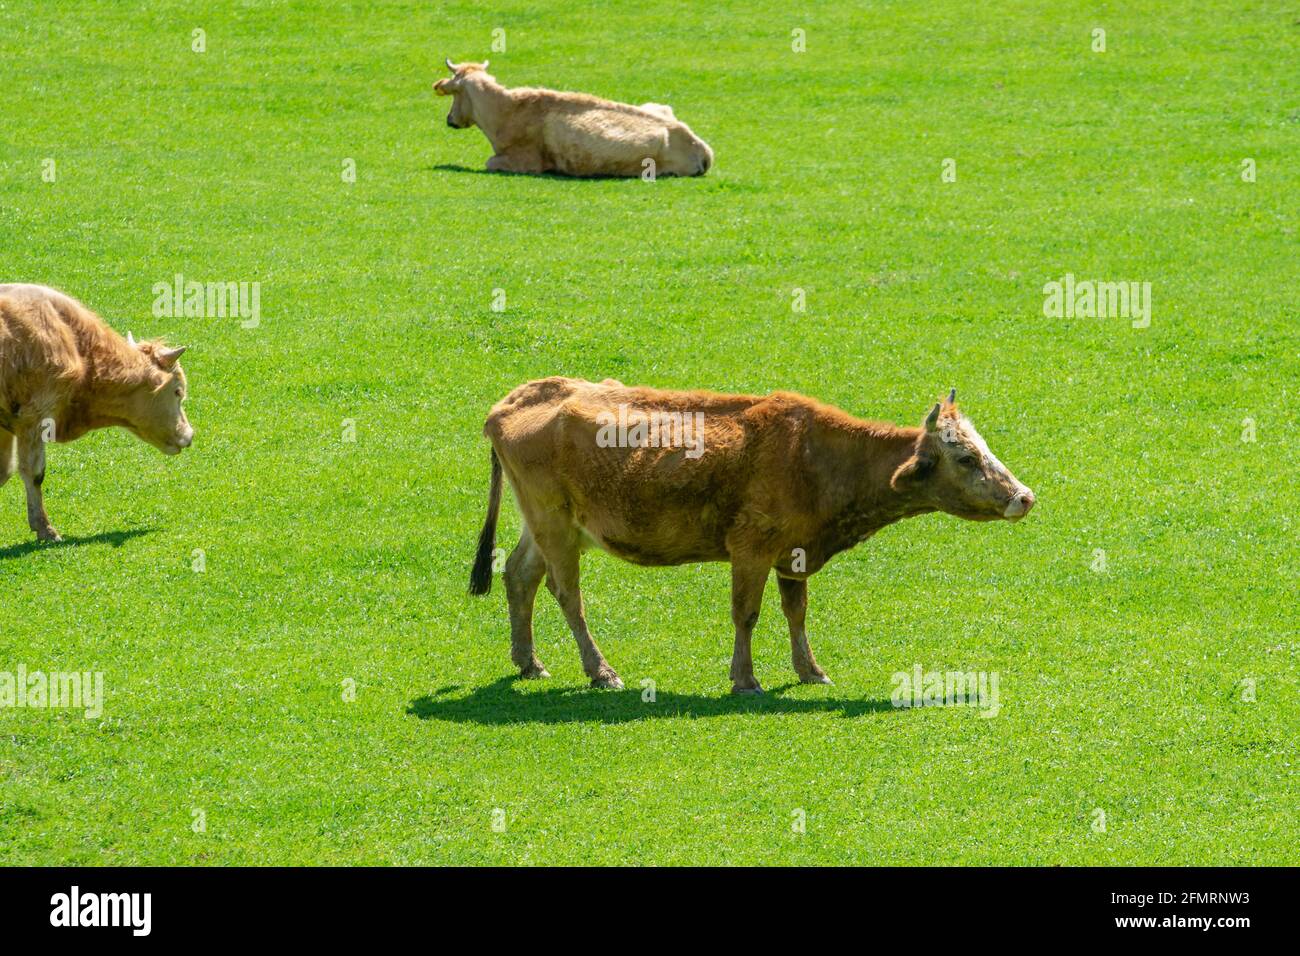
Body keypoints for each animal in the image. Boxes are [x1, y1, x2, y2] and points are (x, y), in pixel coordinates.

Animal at [0, 284, 193, 542]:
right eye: (178, 391)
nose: (189, 435)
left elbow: (4, 471)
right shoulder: (34, 418)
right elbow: (34, 473)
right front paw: (45, 529)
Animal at [434, 59, 714, 178]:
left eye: (455, 92)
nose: (449, 119)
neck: (506, 110)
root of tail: (701, 147)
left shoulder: (524, 161)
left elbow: (490, 162)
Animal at [469, 378, 1035, 694]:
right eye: (966, 458)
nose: (1024, 496)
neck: (816, 459)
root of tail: (513, 400)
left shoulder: (795, 552)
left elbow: (796, 611)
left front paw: (811, 671)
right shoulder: (751, 548)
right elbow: (746, 613)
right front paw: (745, 678)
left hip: (544, 525)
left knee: (519, 576)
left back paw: (528, 661)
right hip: (555, 524)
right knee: (567, 594)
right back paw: (600, 671)